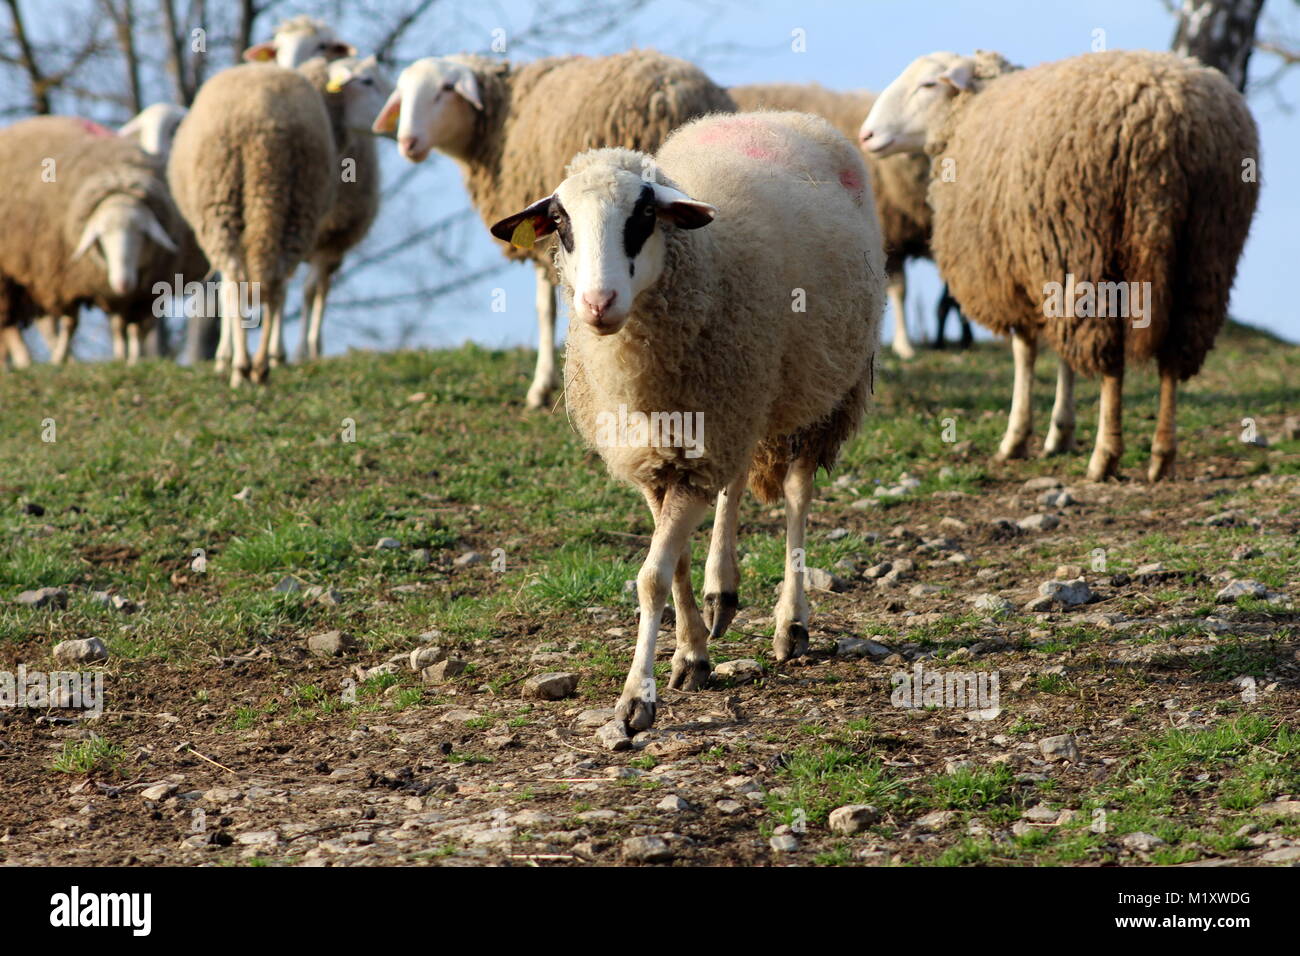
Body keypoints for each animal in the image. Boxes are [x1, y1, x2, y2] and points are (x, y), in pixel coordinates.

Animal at [0, 115, 187, 367]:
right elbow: (72, 323)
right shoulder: (64, 279)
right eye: (103, 234)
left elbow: (126, 327)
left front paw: (129, 359)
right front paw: (61, 359)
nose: (123, 282)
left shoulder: (138, 295)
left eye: (141, 233)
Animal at [168, 62, 338, 386]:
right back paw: (261, 367)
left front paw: (225, 358)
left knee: (236, 281)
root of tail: (266, 119)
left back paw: (242, 367)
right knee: (276, 282)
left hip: (221, 202)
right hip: (299, 205)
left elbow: (224, 291)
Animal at [374, 50, 736, 409]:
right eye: (402, 94)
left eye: (447, 88)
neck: (503, 111)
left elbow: (545, 308)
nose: (407, 142)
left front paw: (542, 386)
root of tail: (673, 92)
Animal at [490, 111, 885, 731]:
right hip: (741, 402)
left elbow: (651, 576)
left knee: (796, 497)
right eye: (560, 222)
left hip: (820, 393)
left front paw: (637, 700)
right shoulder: (660, 456)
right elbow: (670, 564)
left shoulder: (701, 447)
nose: (597, 303)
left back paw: (791, 622)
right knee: (735, 484)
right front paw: (692, 653)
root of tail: (770, 114)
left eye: (644, 216)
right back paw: (723, 591)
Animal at [861, 50, 1259, 481]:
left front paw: (1017, 438)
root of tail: (1167, 115)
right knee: (1174, 354)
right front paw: (1060, 434)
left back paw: (1104, 456)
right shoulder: (1045, 264)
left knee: (1111, 363)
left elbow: (1025, 352)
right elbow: (1063, 357)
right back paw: (1162, 456)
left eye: (929, 84)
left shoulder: (1019, 270)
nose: (866, 135)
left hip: (1089, 246)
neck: (967, 115)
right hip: (1205, 251)